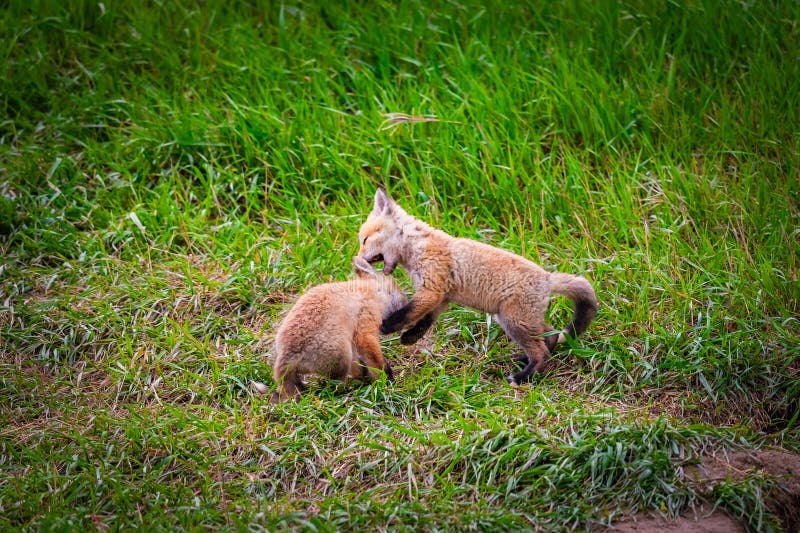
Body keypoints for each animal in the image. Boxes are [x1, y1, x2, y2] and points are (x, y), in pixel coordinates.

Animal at [255, 255, 408, 403]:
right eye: (396, 293)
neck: (369, 293)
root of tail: (286, 361)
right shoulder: (365, 328)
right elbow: (376, 361)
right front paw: (387, 380)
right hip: (343, 354)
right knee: (335, 385)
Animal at [358, 188, 598, 386]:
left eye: (364, 240)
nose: (357, 258)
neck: (418, 246)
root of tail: (548, 278)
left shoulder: (432, 289)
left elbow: (406, 312)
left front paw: (386, 326)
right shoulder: (442, 296)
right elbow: (425, 321)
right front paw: (411, 337)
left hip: (514, 322)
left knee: (541, 352)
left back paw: (523, 377)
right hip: (519, 320)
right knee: (550, 335)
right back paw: (527, 360)